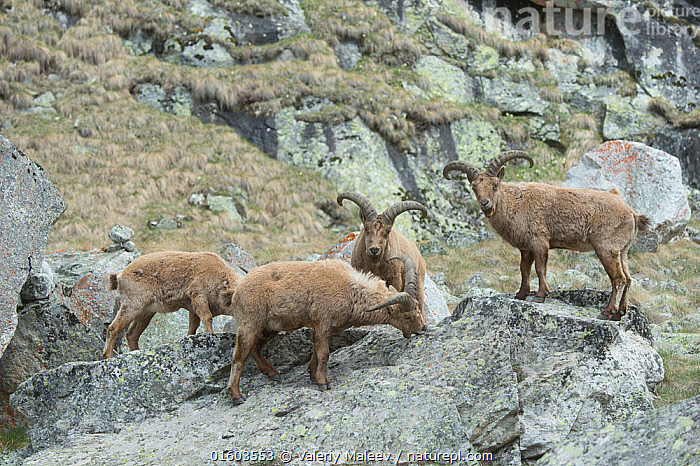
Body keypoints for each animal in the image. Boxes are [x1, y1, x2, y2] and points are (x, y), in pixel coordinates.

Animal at [103, 251, 240, 358]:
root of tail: (120, 275)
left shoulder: (192, 308)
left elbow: (193, 327)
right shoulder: (198, 296)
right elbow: (207, 318)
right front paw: (210, 336)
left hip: (146, 311)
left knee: (131, 334)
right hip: (133, 304)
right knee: (113, 328)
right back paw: (108, 356)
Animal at [226, 255, 425, 404]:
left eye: (418, 307)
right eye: (407, 316)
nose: (423, 328)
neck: (350, 291)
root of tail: (237, 291)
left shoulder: (319, 328)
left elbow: (316, 353)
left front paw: (313, 375)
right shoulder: (323, 324)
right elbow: (324, 354)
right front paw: (323, 383)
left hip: (269, 327)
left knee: (255, 349)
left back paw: (273, 373)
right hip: (250, 324)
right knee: (238, 357)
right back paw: (237, 396)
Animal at [443, 151, 651, 321]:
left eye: (495, 184)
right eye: (474, 187)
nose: (485, 203)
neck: (514, 203)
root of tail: (632, 214)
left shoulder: (539, 241)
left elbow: (540, 269)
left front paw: (540, 295)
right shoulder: (525, 247)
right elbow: (524, 269)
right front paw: (521, 294)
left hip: (606, 248)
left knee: (618, 279)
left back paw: (606, 312)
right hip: (622, 251)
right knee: (628, 278)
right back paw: (619, 313)